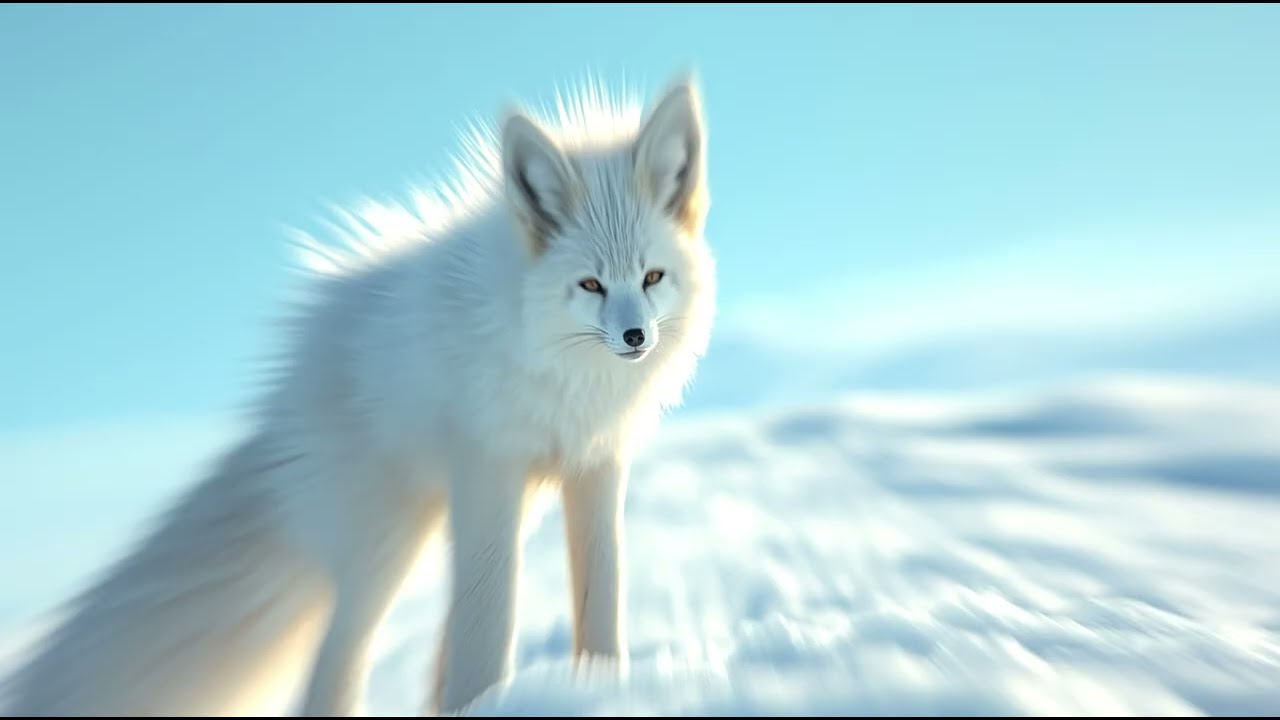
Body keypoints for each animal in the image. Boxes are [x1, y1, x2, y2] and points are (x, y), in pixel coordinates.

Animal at [1, 73, 716, 716]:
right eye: (591, 284)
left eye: (652, 278)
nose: (635, 336)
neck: (562, 370)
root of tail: (285, 395)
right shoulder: (490, 466)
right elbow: (488, 630)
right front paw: (492, 700)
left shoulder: (595, 465)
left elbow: (601, 603)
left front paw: (603, 689)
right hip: (392, 545)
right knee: (340, 657)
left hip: (478, 516)